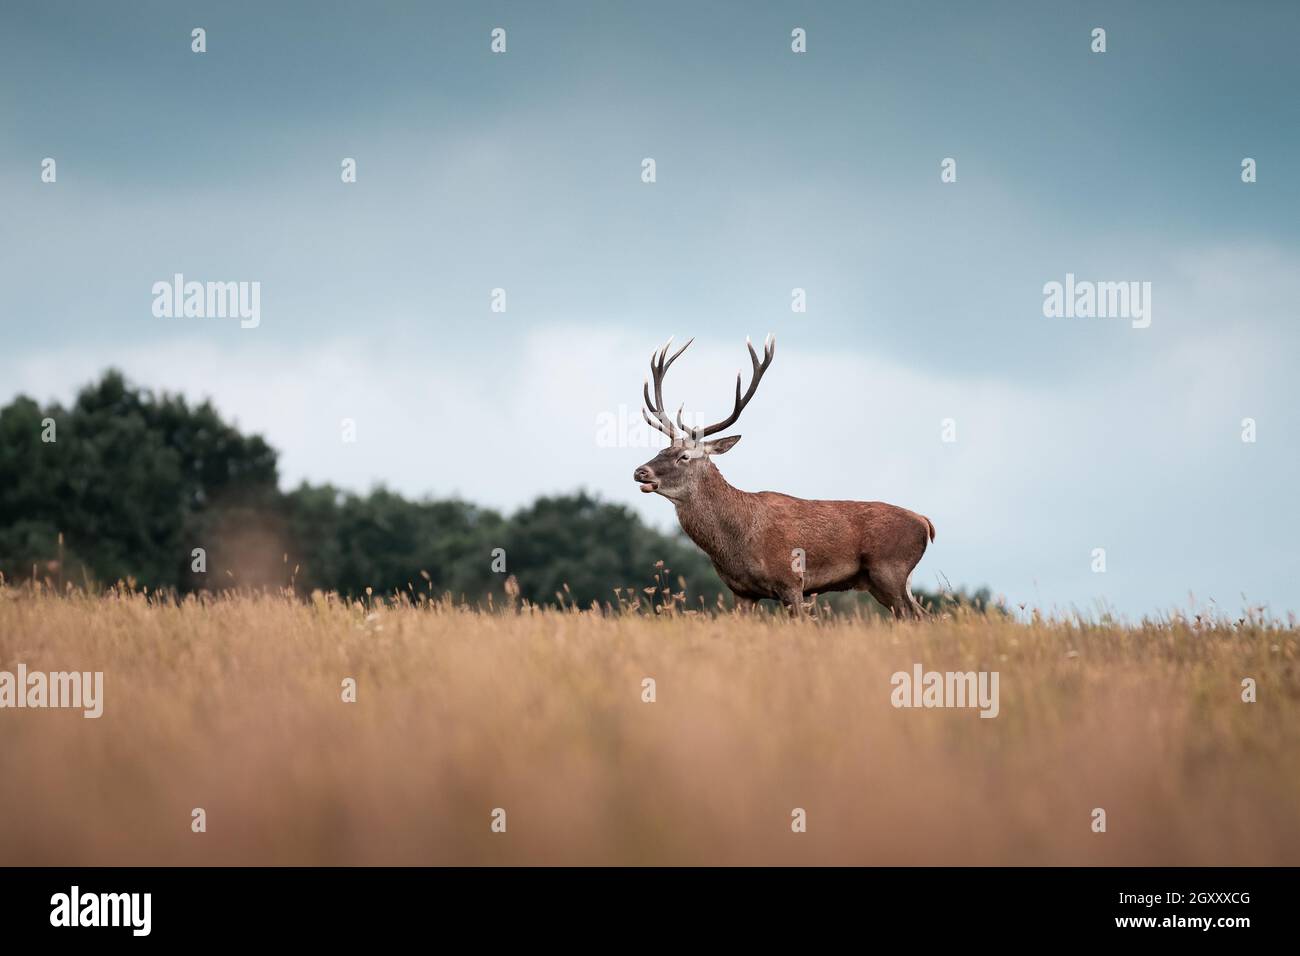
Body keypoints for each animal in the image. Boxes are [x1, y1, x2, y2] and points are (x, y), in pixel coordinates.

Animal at [632, 335, 935, 618]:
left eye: (684, 456)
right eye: (662, 449)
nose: (640, 471)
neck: (738, 541)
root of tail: (926, 523)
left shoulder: (791, 581)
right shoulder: (741, 591)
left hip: (891, 570)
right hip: (884, 581)